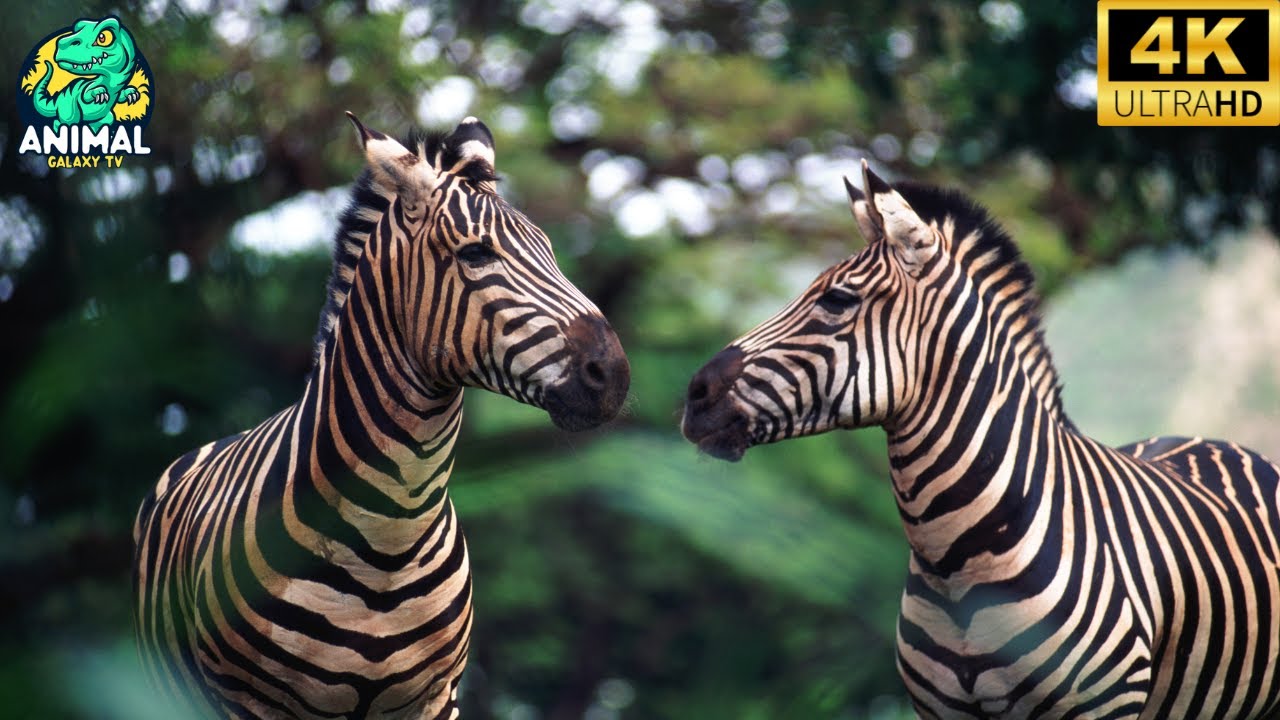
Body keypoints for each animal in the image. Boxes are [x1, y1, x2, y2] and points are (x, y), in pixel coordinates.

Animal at [133, 113, 630, 719]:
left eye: (550, 251)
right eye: (476, 254)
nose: (614, 375)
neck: (388, 535)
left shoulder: (437, 699)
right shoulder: (247, 704)